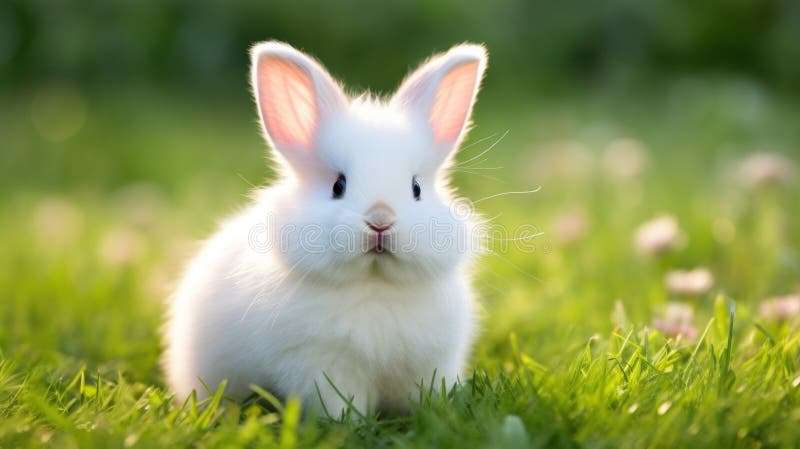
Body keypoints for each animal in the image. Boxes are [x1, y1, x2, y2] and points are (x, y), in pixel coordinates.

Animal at [163, 41, 488, 416]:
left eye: (416, 188)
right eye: (338, 186)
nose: (380, 220)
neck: (373, 284)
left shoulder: (431, 363)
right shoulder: (322, 365)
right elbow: (338, 404)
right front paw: (350, 423)